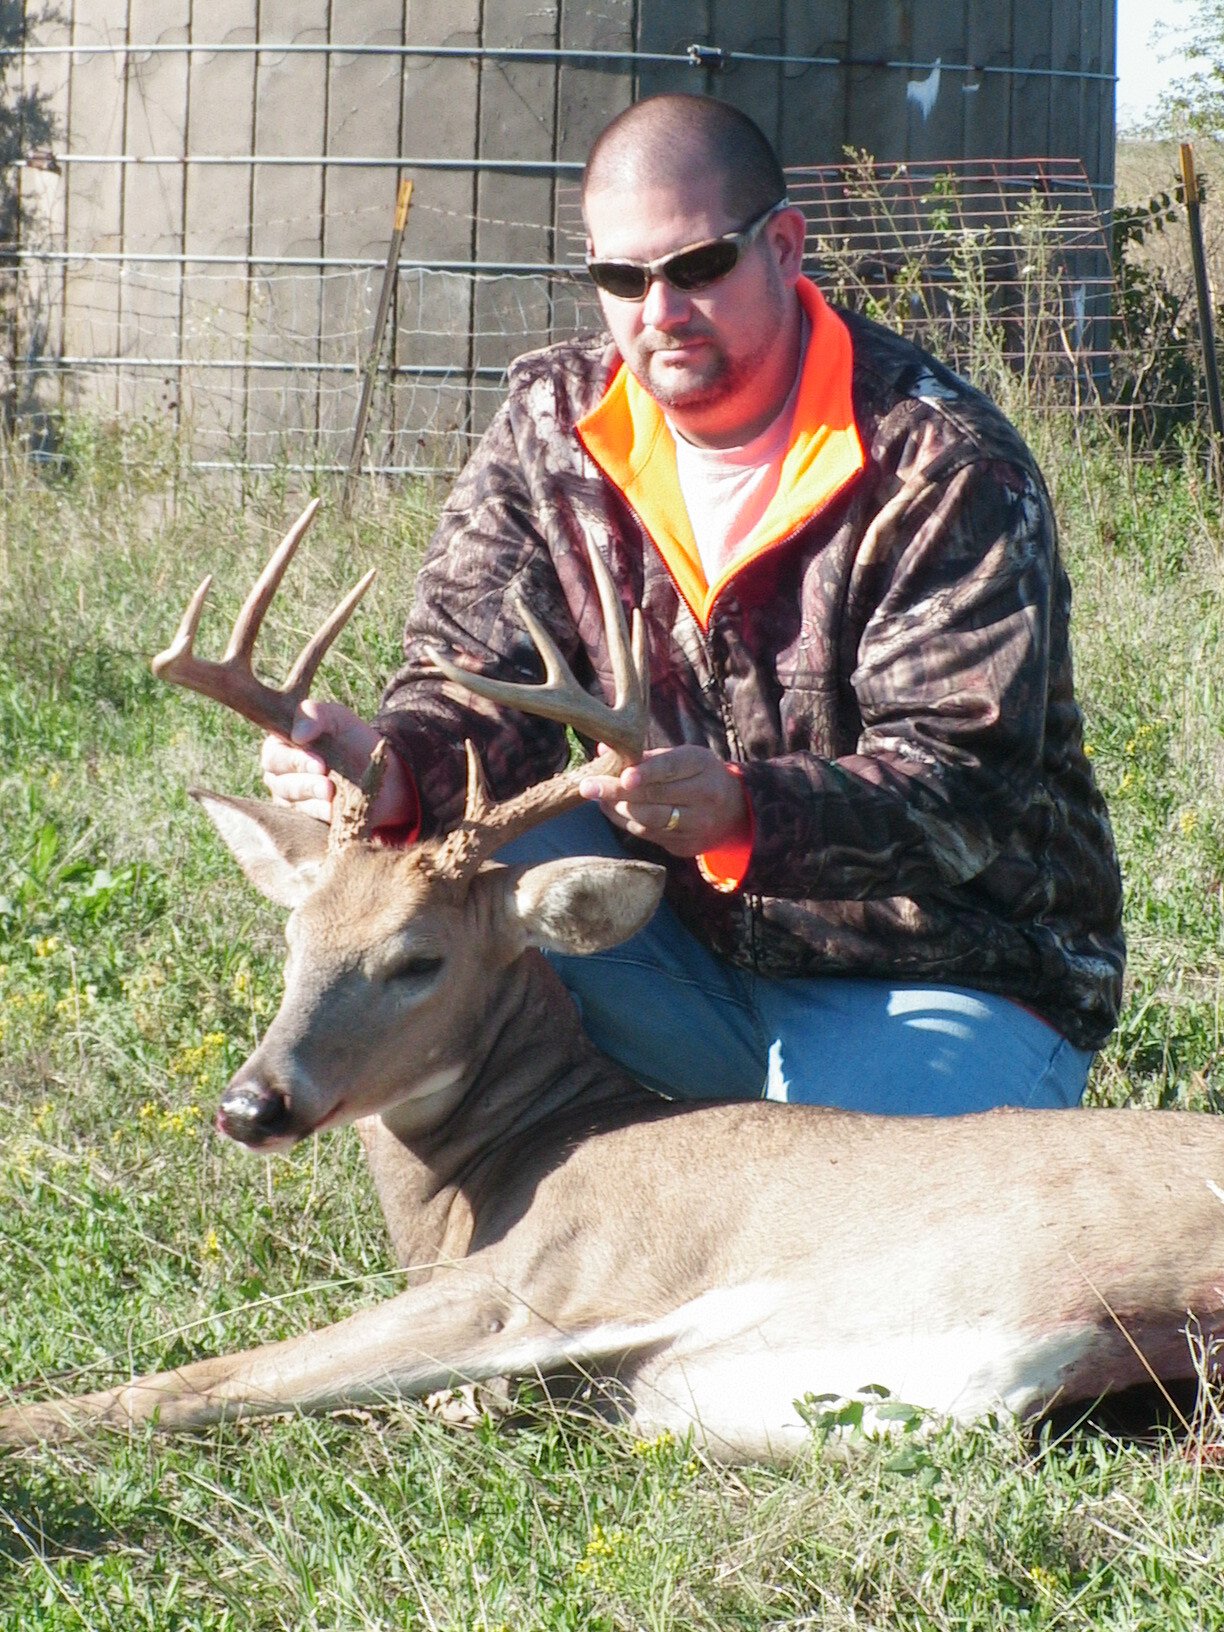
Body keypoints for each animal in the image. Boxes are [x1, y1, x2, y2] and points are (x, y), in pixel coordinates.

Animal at [2, 500, 1223, 1463]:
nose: (253, 1105)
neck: (501, 1170)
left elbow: (189, 1385)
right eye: (295, 940)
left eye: (418, 958)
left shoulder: (542, 1282)